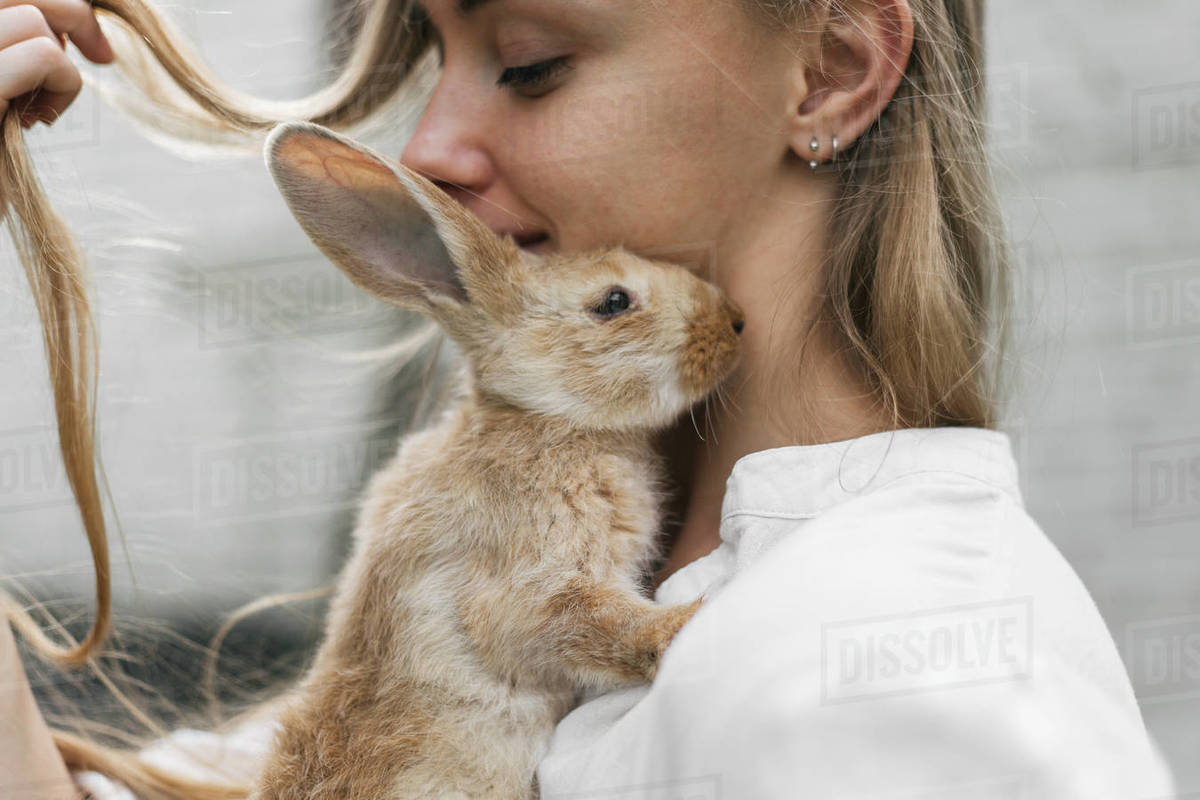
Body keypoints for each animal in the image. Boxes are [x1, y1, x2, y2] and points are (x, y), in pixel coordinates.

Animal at [252, 120, 744, 800]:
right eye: (614, 302)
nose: (734, 322)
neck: (545, 419)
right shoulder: (531, 581)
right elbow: (591, 624)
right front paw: (684, 623)